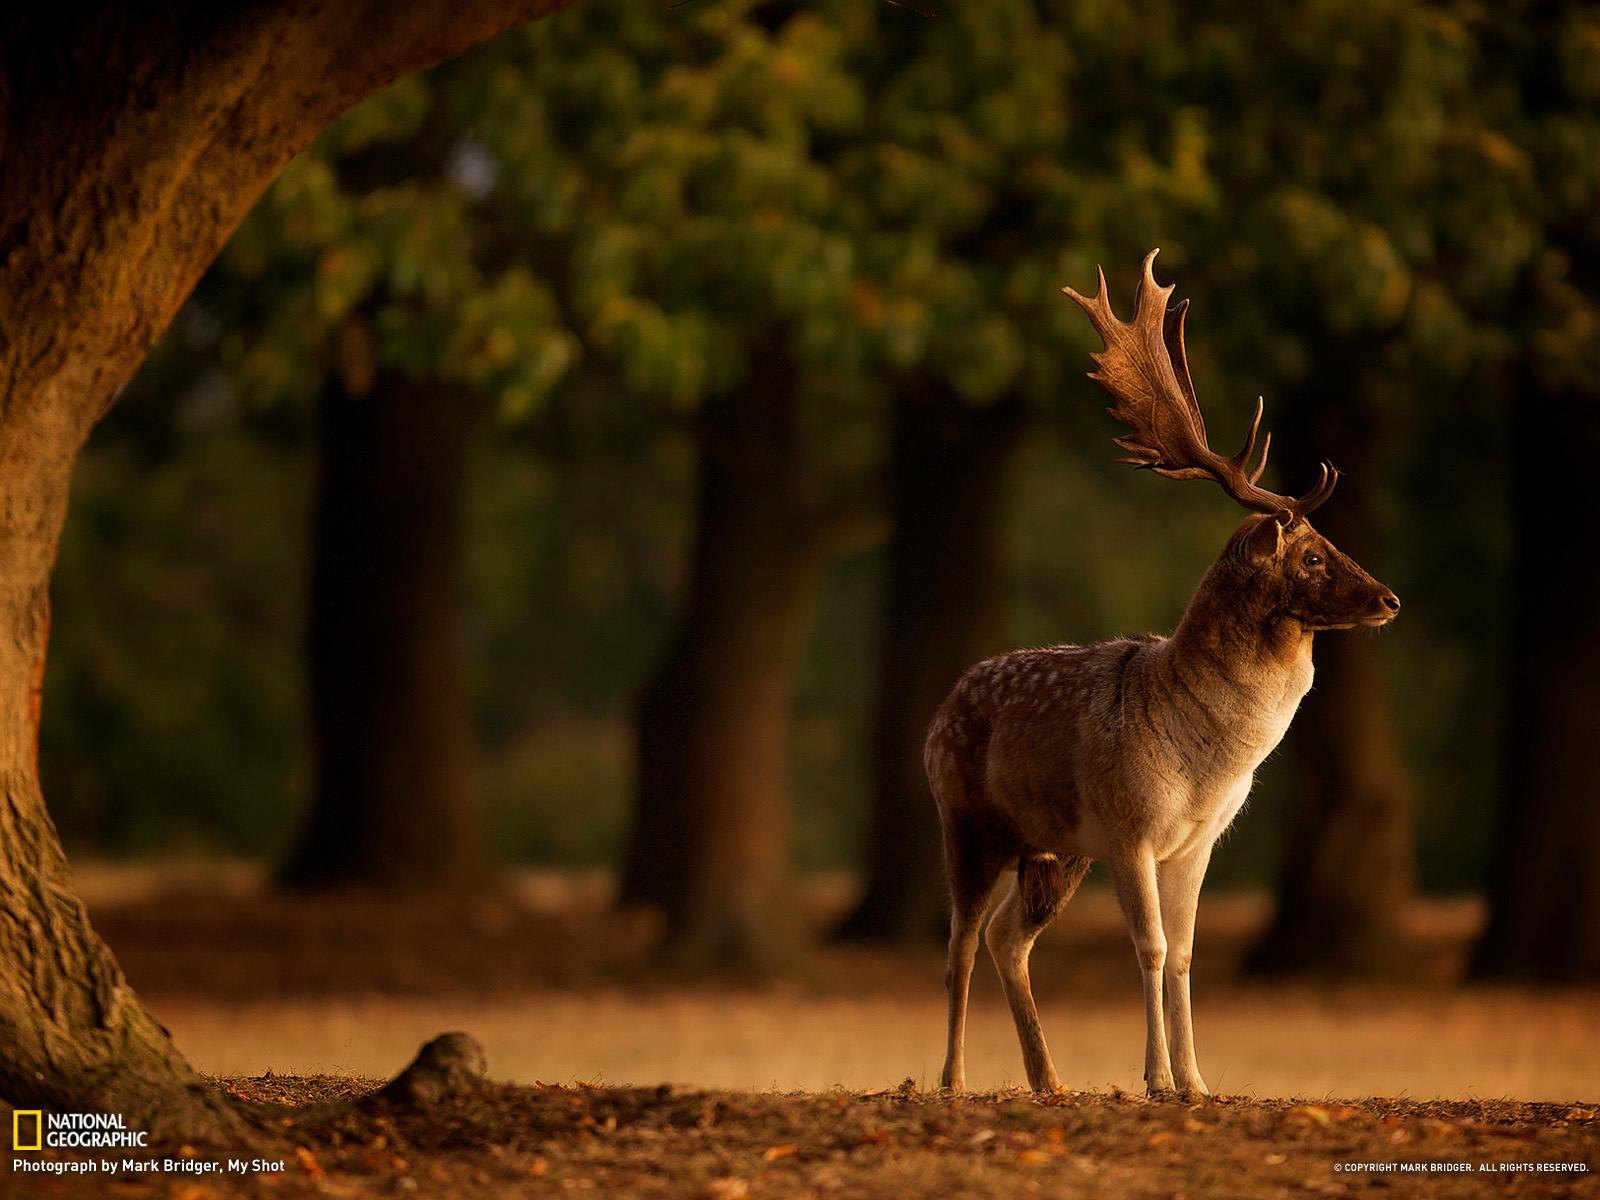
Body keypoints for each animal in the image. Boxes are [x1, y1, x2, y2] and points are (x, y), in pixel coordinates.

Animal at [927, 249, 1400, 1097]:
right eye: (1312, 556)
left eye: (1333, 543)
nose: (1390, 598)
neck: (1209, 764)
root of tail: (938, 712)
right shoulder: (1131, 828)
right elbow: (1147, 949)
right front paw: (1154, 1078)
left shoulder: (1195, 843)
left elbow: (1182, 956)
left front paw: (1197, 1082)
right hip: (969, 818)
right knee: (959, 944)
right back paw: (951, 1079)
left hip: (1055, 847)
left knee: (1009, 937)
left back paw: (1050, 1079)